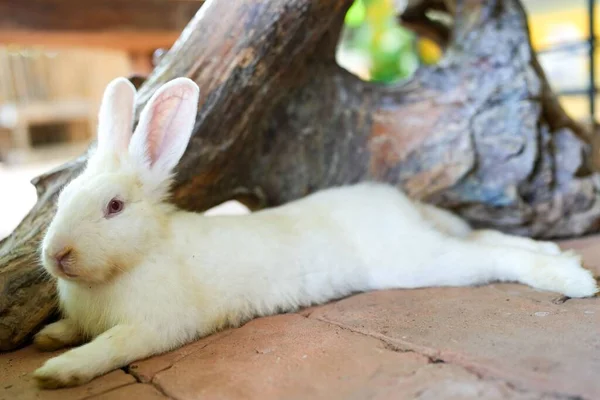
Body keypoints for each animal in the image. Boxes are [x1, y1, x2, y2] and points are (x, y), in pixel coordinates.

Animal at [34, 77, 600, 388]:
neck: (142, 253)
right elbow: (74, 329)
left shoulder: (151, 327)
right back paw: (562, 256)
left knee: (492, 258)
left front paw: (58, 371)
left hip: (417, 263)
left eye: (113, 207)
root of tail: (400, 206)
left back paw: (574, 281)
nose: (57, 255)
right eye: (62, 199)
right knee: (485, 240)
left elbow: (110, 348)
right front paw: (49, 337)